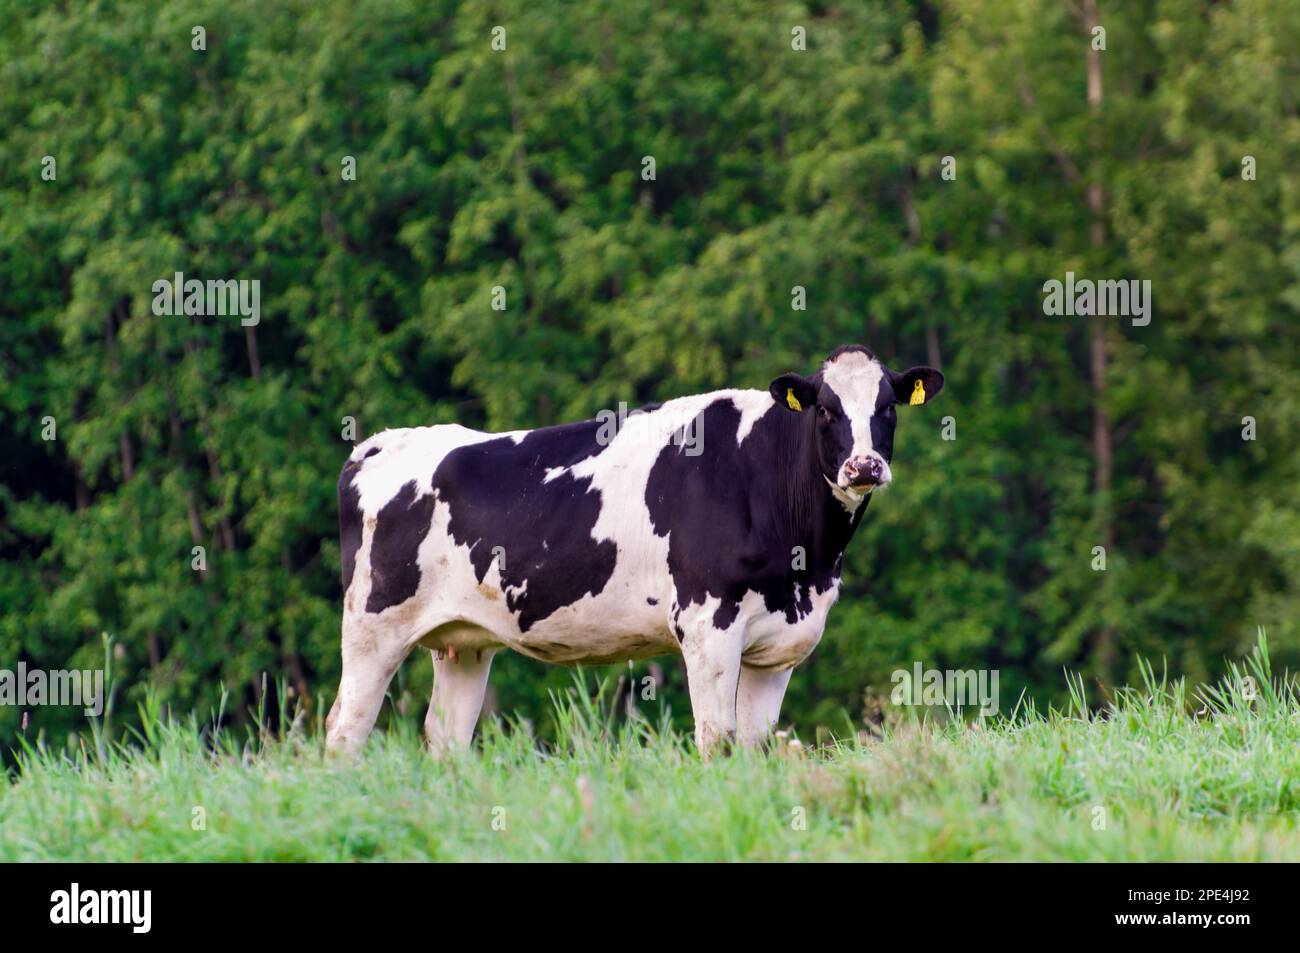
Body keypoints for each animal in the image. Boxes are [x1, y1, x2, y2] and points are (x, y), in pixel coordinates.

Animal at [324, 345, 943, 757]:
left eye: (888, 408)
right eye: (825, 410)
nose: (863, 466)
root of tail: (378, 444)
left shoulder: (781, 647)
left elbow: (753, 746)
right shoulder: (707, 625)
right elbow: (716, 739)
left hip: (464, 642)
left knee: (445, 736)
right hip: (371, 627)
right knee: (344, 729)